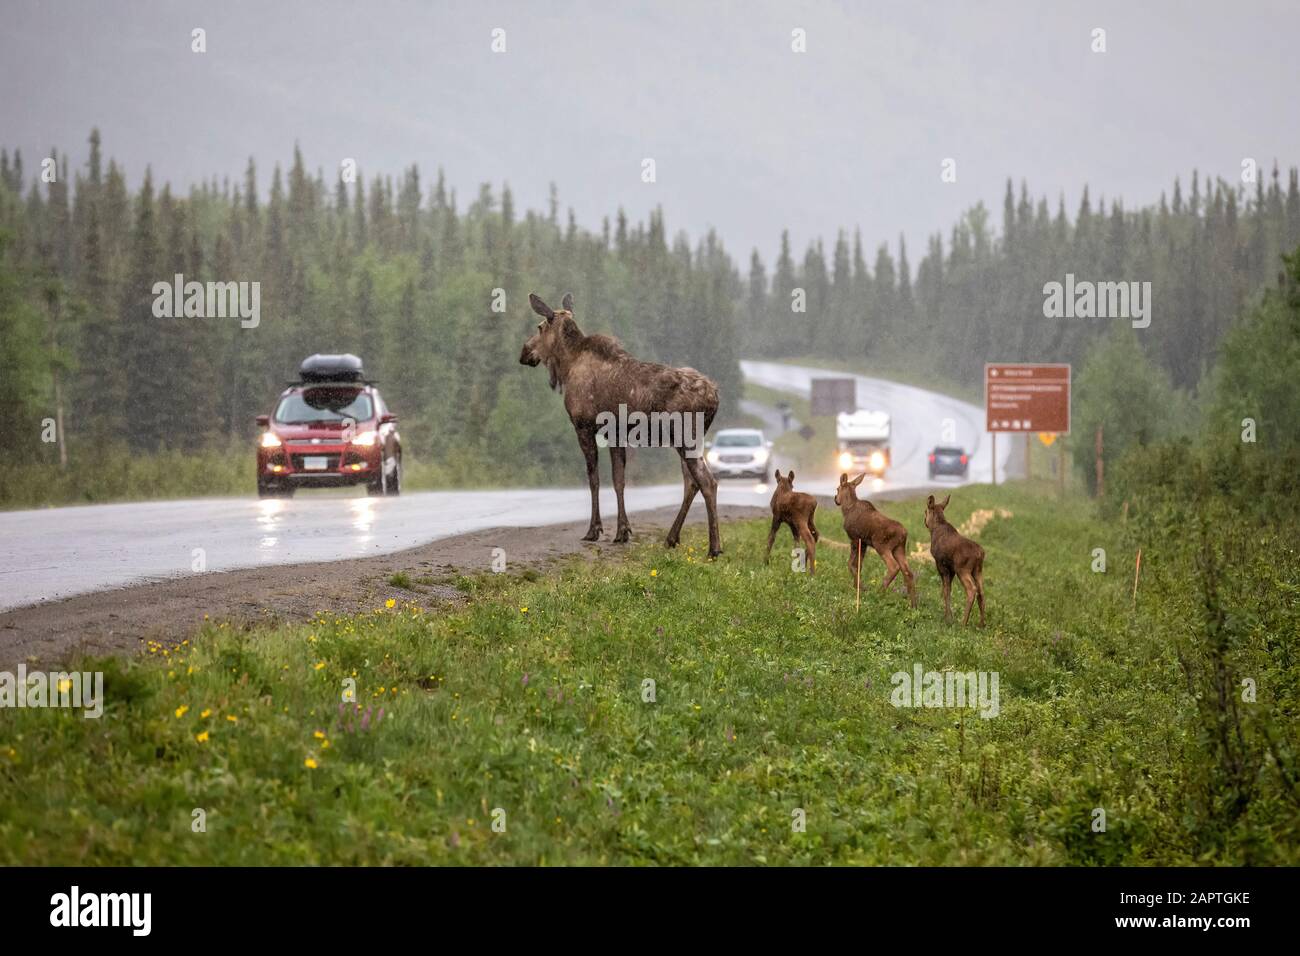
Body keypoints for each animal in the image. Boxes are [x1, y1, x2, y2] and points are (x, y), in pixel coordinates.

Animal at [518, 292, 723, 557]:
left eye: (540, 327)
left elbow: (594, 479)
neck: (567, 366)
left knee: (707, 482)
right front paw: (622, 531)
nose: (524, 352)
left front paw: (594, 530)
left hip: (684, 437)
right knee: (691, 482)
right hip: (689, 440)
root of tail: (714, 397)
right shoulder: (616, 434)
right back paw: (671, 537)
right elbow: (619, 481)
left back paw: (714, 548)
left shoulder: (583, 426)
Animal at [833, 472, 916, 607]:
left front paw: (861, 587)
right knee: (908, 572)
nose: (836, 499)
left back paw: (879, 592)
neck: (846, 509)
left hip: (881, 545)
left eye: (837, 488)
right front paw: (857, 586)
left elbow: (851, 564)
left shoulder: (855, 539)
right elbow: (858, 565)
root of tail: (904, 533)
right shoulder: (864, 543)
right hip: (899, 549)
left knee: (894, 566)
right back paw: (913, 604)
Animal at [923, 493, 985, 626]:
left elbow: (946, 591)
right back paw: (982, 624)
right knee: (981, 592)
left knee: (972, 589)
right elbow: (948, 590)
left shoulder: (941, 565)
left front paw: (947, 618)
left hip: (962, 569)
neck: (934, 529)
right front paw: (949, 616)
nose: (924, 521)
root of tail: (980, 554)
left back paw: (963, 623)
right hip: (978, 570)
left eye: (925, 511)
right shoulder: (950, 569)